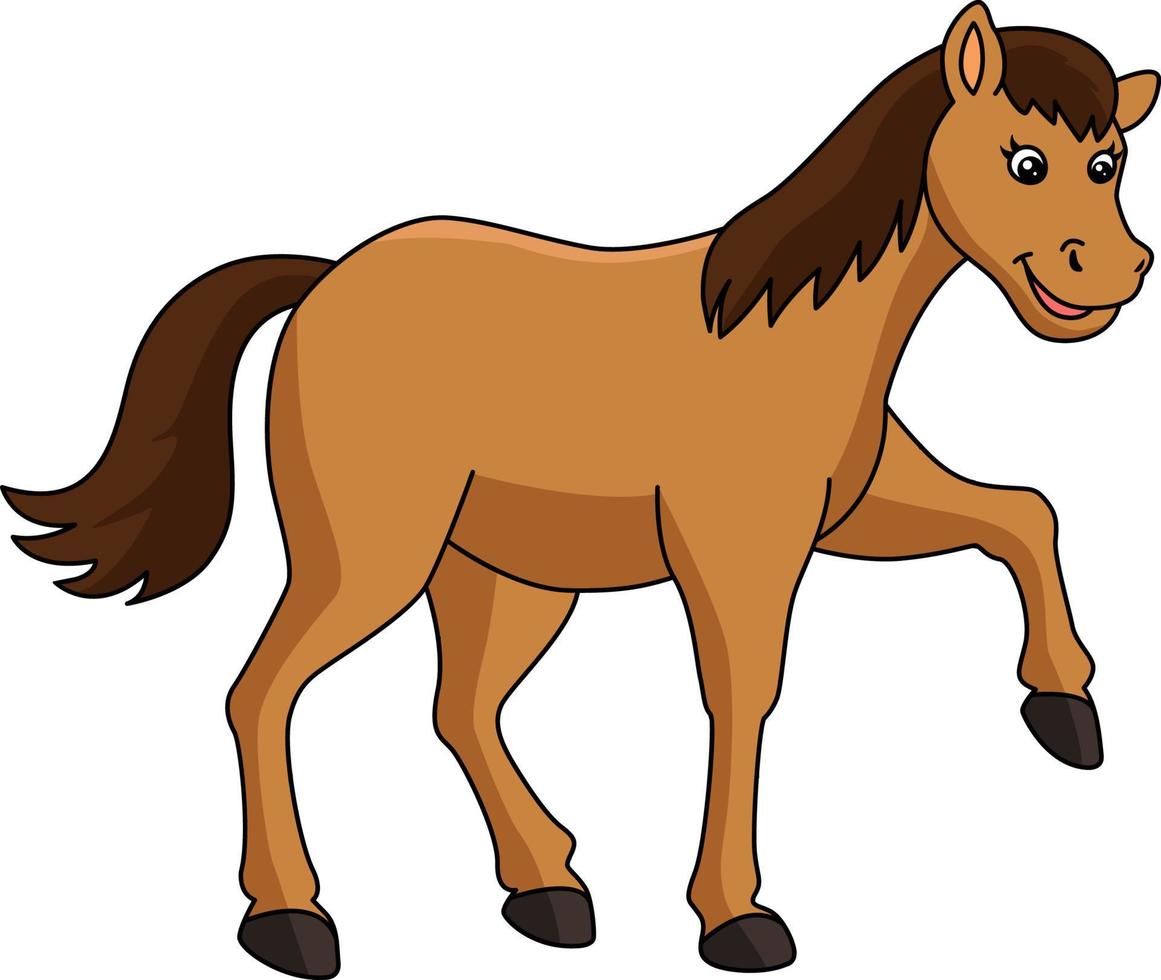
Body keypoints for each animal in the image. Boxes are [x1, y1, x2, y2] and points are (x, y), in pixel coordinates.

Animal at [4, 3, 1155, 975]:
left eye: (1109, 160)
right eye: (1024, 159)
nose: (1116, 272)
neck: (792, 328)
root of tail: (325, 279)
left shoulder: (854, 514)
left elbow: (1022, 514)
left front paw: (1066, 708)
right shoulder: (740, 546)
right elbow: (744, 694)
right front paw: (738, 918)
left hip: (504, 575)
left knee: (459, 709)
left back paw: (549, 888)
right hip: (372, 557)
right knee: (262, 692)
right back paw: (291, 918)